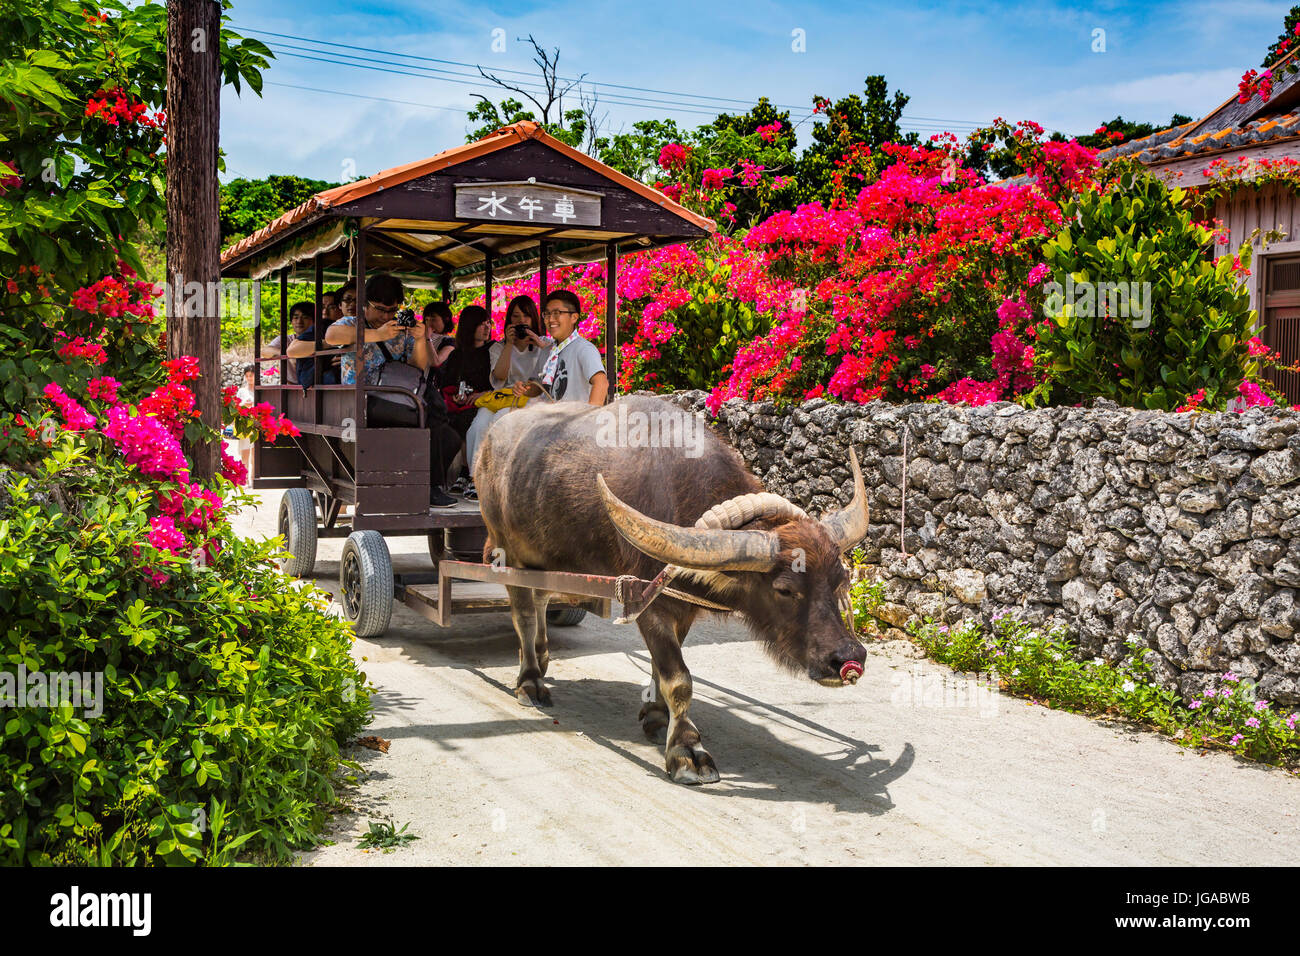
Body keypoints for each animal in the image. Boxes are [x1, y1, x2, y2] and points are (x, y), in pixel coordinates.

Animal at [475, 395, 869, 784]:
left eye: (840, 580)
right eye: (785, 590)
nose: (848, 657)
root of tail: (489, 442)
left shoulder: (681, 607)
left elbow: (660, 664)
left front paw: (656, 714)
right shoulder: (648, 602)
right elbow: (678, 678)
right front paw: (686, 750)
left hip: (544, 559)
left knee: (541, 598)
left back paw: (541, 659)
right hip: (507, 551)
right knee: (524, 614)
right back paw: (529, 682)